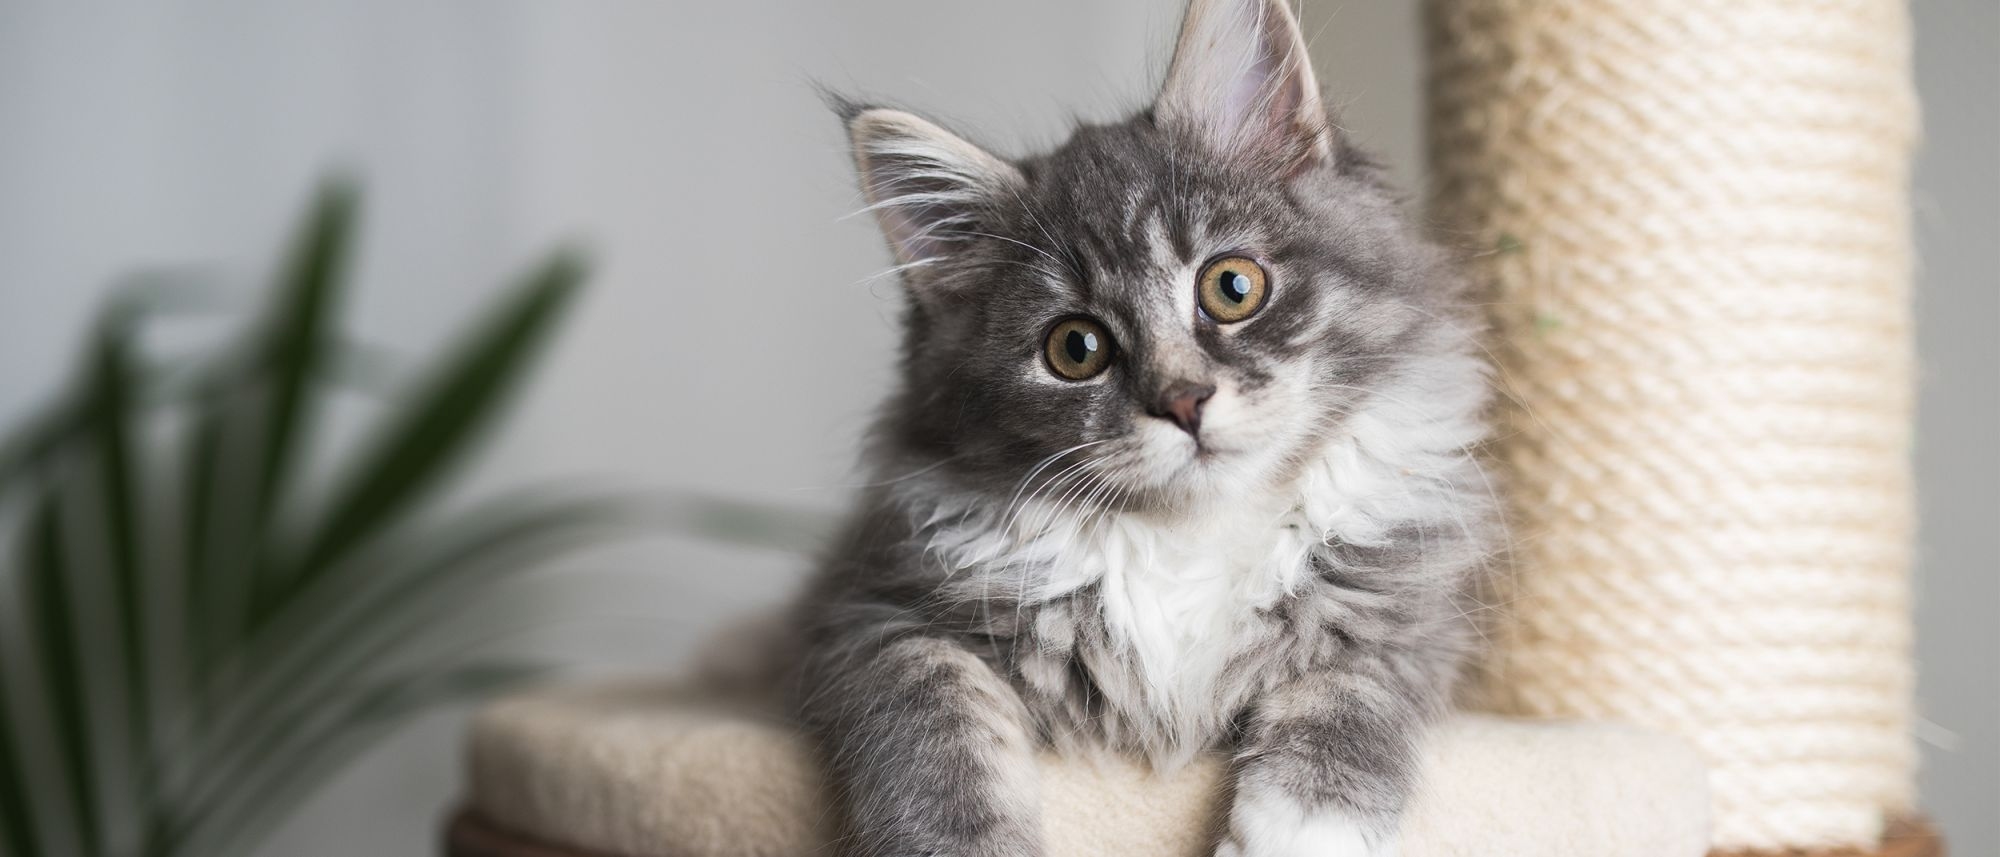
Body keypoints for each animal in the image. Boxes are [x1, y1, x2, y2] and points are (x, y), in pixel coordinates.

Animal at [788, 3, 1496, 852]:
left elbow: (1349, 698)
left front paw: (1294, 828)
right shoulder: (872, 616)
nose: (1184, 401)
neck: (1187, 539)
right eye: (1076, 348)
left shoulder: (1405, 613)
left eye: (1233, 287)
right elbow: (934, 723)